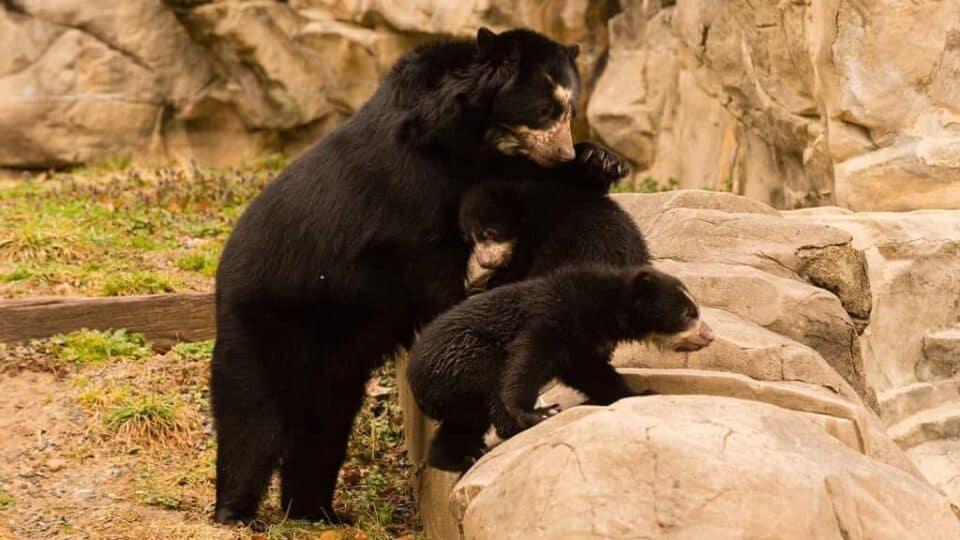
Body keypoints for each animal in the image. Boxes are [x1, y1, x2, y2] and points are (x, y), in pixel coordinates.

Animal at [210, 27, 630, 525]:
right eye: (543, 109)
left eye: (569, 109)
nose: (563, 151)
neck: (474, 136)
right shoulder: (413, 190)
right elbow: (429, 263)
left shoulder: (502, 175)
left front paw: (603, 161)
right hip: (270, 317)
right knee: (252, 411)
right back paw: (237, 512)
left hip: (335, 352)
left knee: (324, 422)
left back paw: (316, 511)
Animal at [406, 264, 716, 472]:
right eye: (687, 314)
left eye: (695, 310)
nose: (710, 336)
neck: (606, 310)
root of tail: (415, 382)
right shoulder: (556, 315)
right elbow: (530, 357)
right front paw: (532, 412)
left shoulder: (583, 346)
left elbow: (592, 373)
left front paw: (638, 393)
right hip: (464, 354)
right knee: (489, 381)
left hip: (455, 391)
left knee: (464, 421)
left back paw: (458, 456)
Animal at [458, 176, 651, 293]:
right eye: (471, 240)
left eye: (491, 233)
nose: (484, 262)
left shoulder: (532, 237)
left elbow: (519, 266)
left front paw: (496, 281)